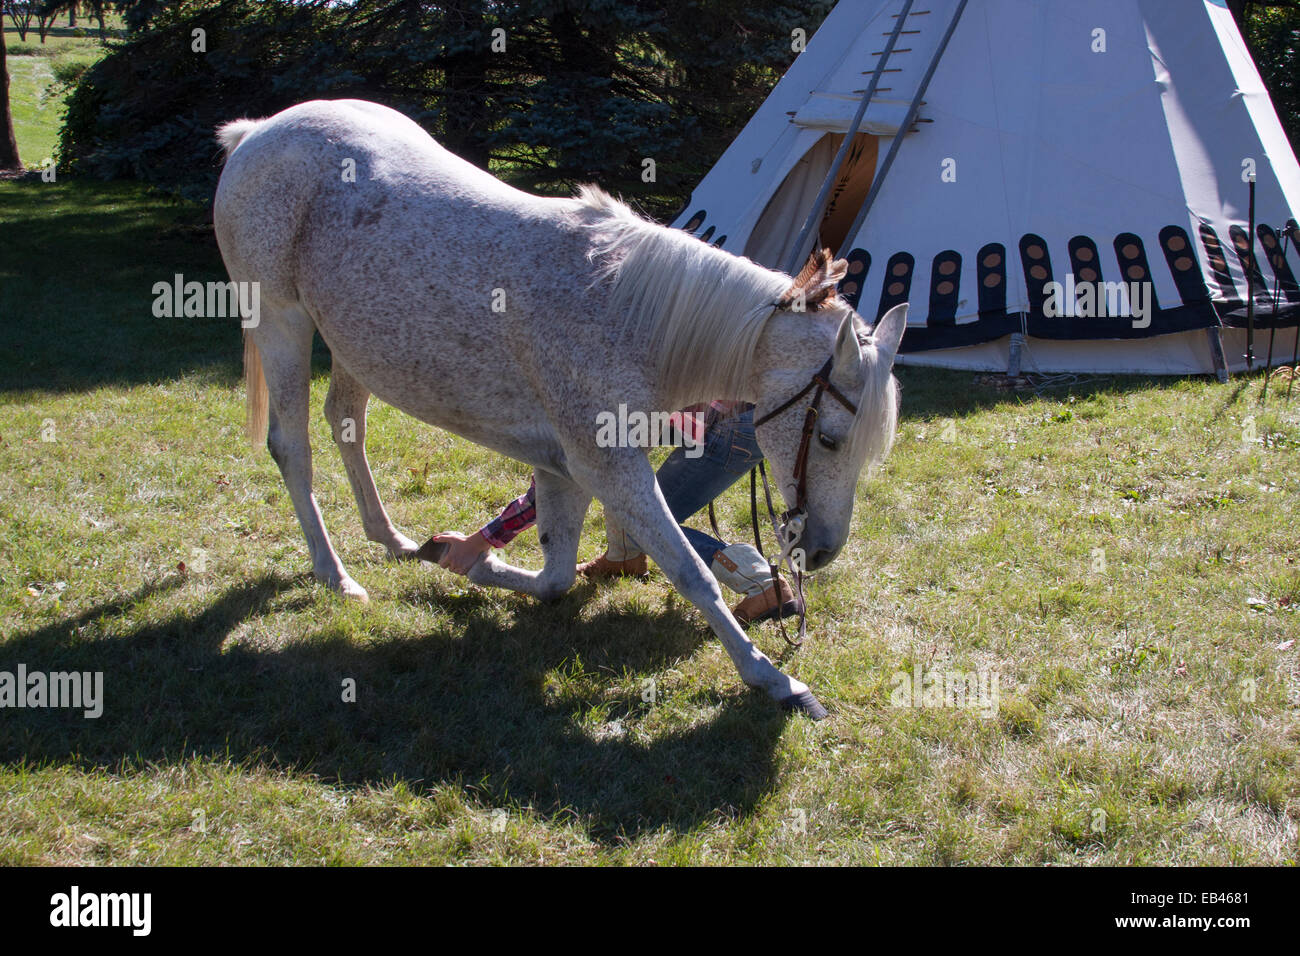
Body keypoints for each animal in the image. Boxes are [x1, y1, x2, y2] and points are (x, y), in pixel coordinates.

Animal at [213, 99, 907, 719]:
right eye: (832, 438)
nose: (820, 550)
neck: (633, 317)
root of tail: (257, 131)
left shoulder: (562, 468)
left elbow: (555, 576)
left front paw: (466, 559)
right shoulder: (606, 465)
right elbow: (690, 572)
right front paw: (775, 681)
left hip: (349, 345)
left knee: (346, 427)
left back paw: (393, 540)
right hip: (280, 320)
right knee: (293, 446)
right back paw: (334, 575)